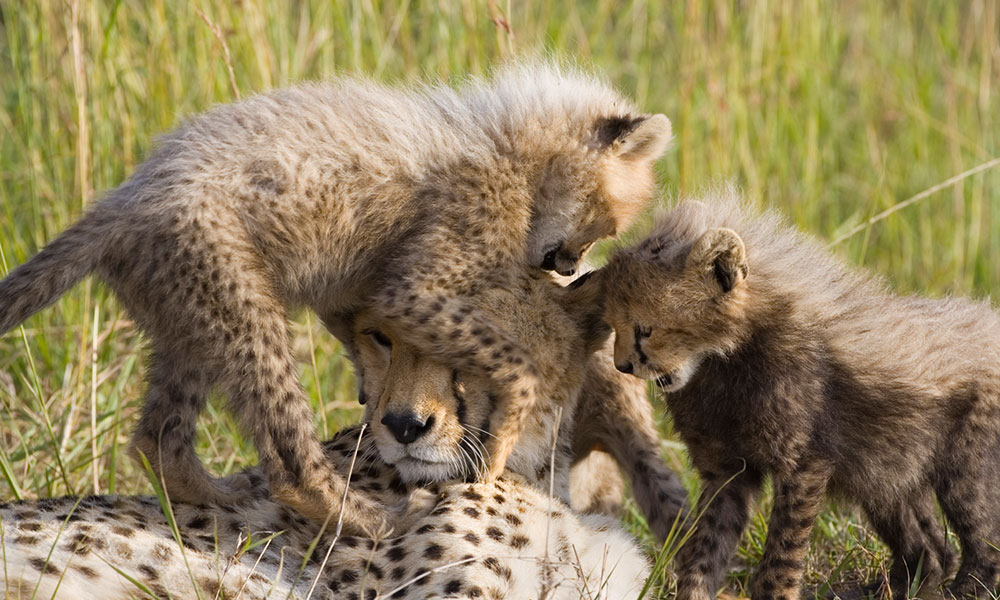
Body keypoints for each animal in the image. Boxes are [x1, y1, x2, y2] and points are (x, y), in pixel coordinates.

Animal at [0, 61, 673, 534]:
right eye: (604, 223)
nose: (571, 265)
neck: (506, 139)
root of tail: (122, 198)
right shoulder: (416, 283)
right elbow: (513, 361)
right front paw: (505, 427)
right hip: (237, 301)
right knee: (287, 459)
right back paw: (364, 518)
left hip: (188, 313)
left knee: (158, 437)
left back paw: (217, 494)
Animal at [584, 187, 1000, 600]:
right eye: (613, 325)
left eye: (645, 329)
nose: (623, 366)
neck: (727, 357)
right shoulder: (726, 472)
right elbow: (704, 550)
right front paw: (694, 592)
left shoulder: (802, 466)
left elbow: (781, 555)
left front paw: (774, 591)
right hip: (886, 467)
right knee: (931, 549)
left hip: (964, 469)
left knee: (984, 542)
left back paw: (967, 590)